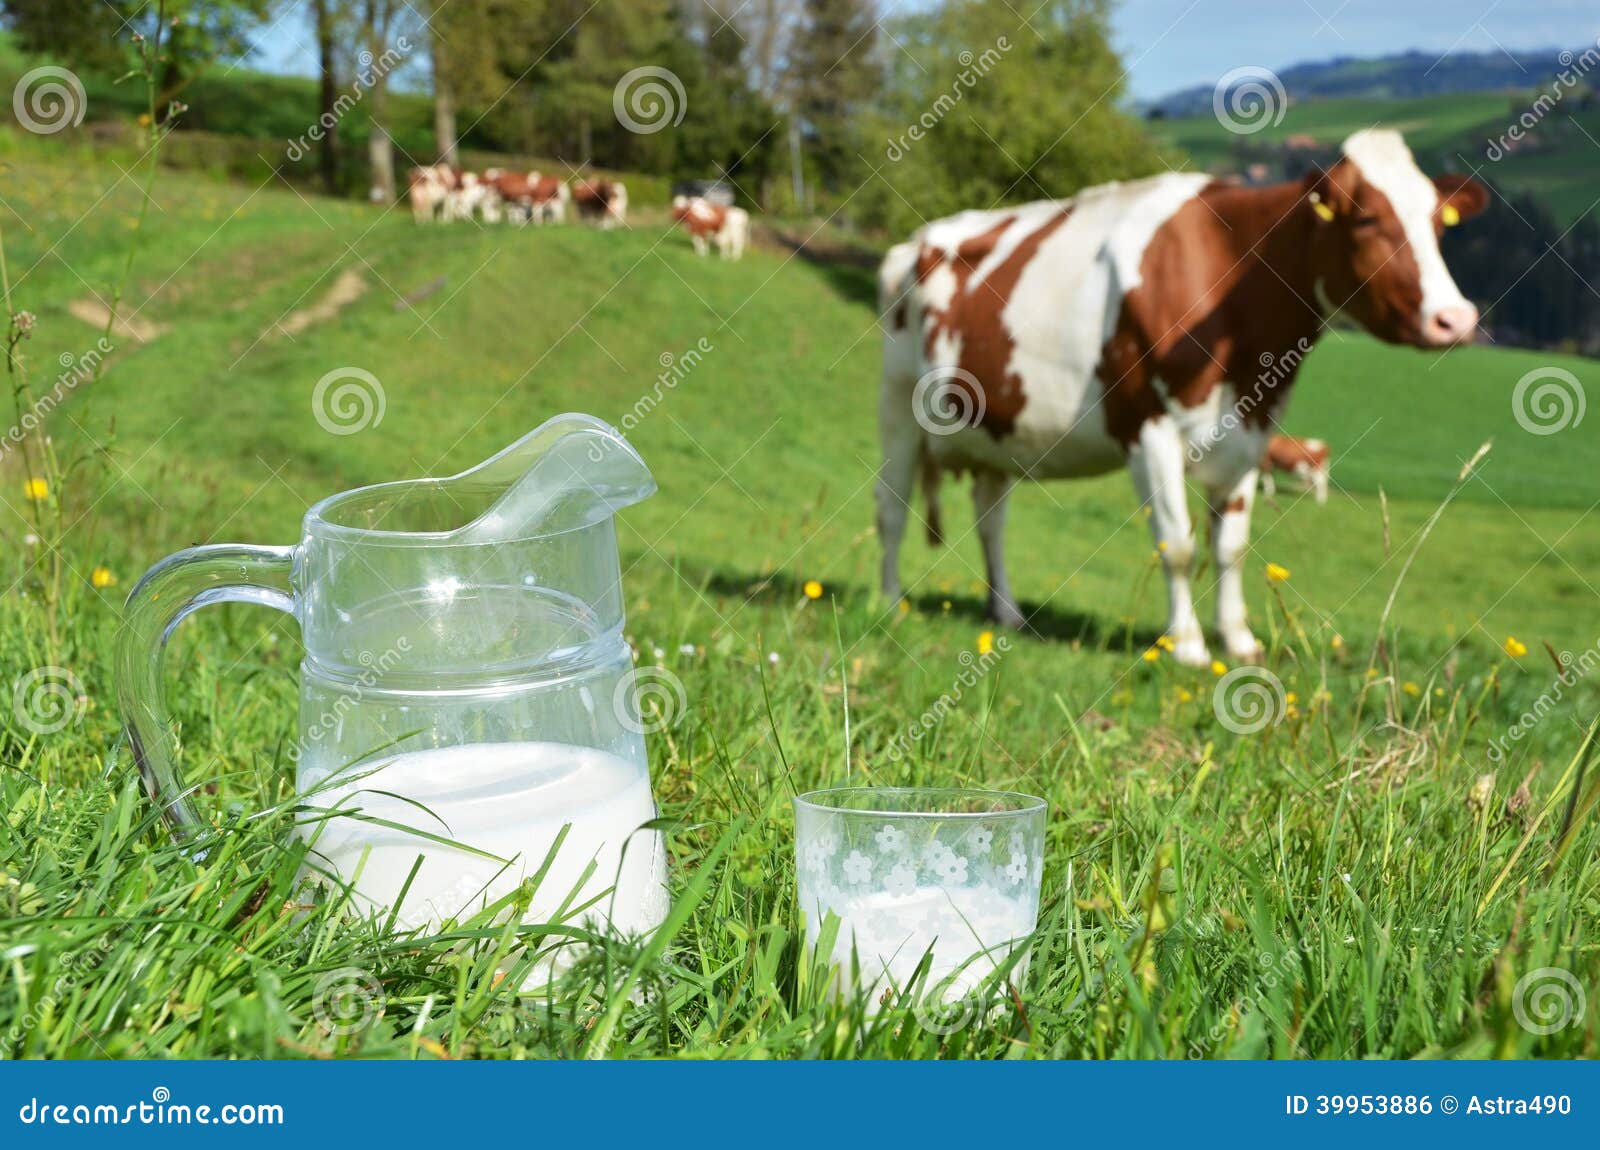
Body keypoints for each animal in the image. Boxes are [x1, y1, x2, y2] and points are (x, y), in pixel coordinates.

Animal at [876, 129, 1486, 666]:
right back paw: (890, 602)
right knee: (892, 507)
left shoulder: (1252, 430)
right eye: (1366, 218)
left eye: (1439, 223)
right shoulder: (1148, 429)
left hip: (996, 430)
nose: (1455, 319)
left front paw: (1239, 641)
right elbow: (1178, 545)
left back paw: (1005, 612)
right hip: (899, 405)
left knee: (991, 522)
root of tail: (913, 242)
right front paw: (1188, 646)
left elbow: (1230, 547)